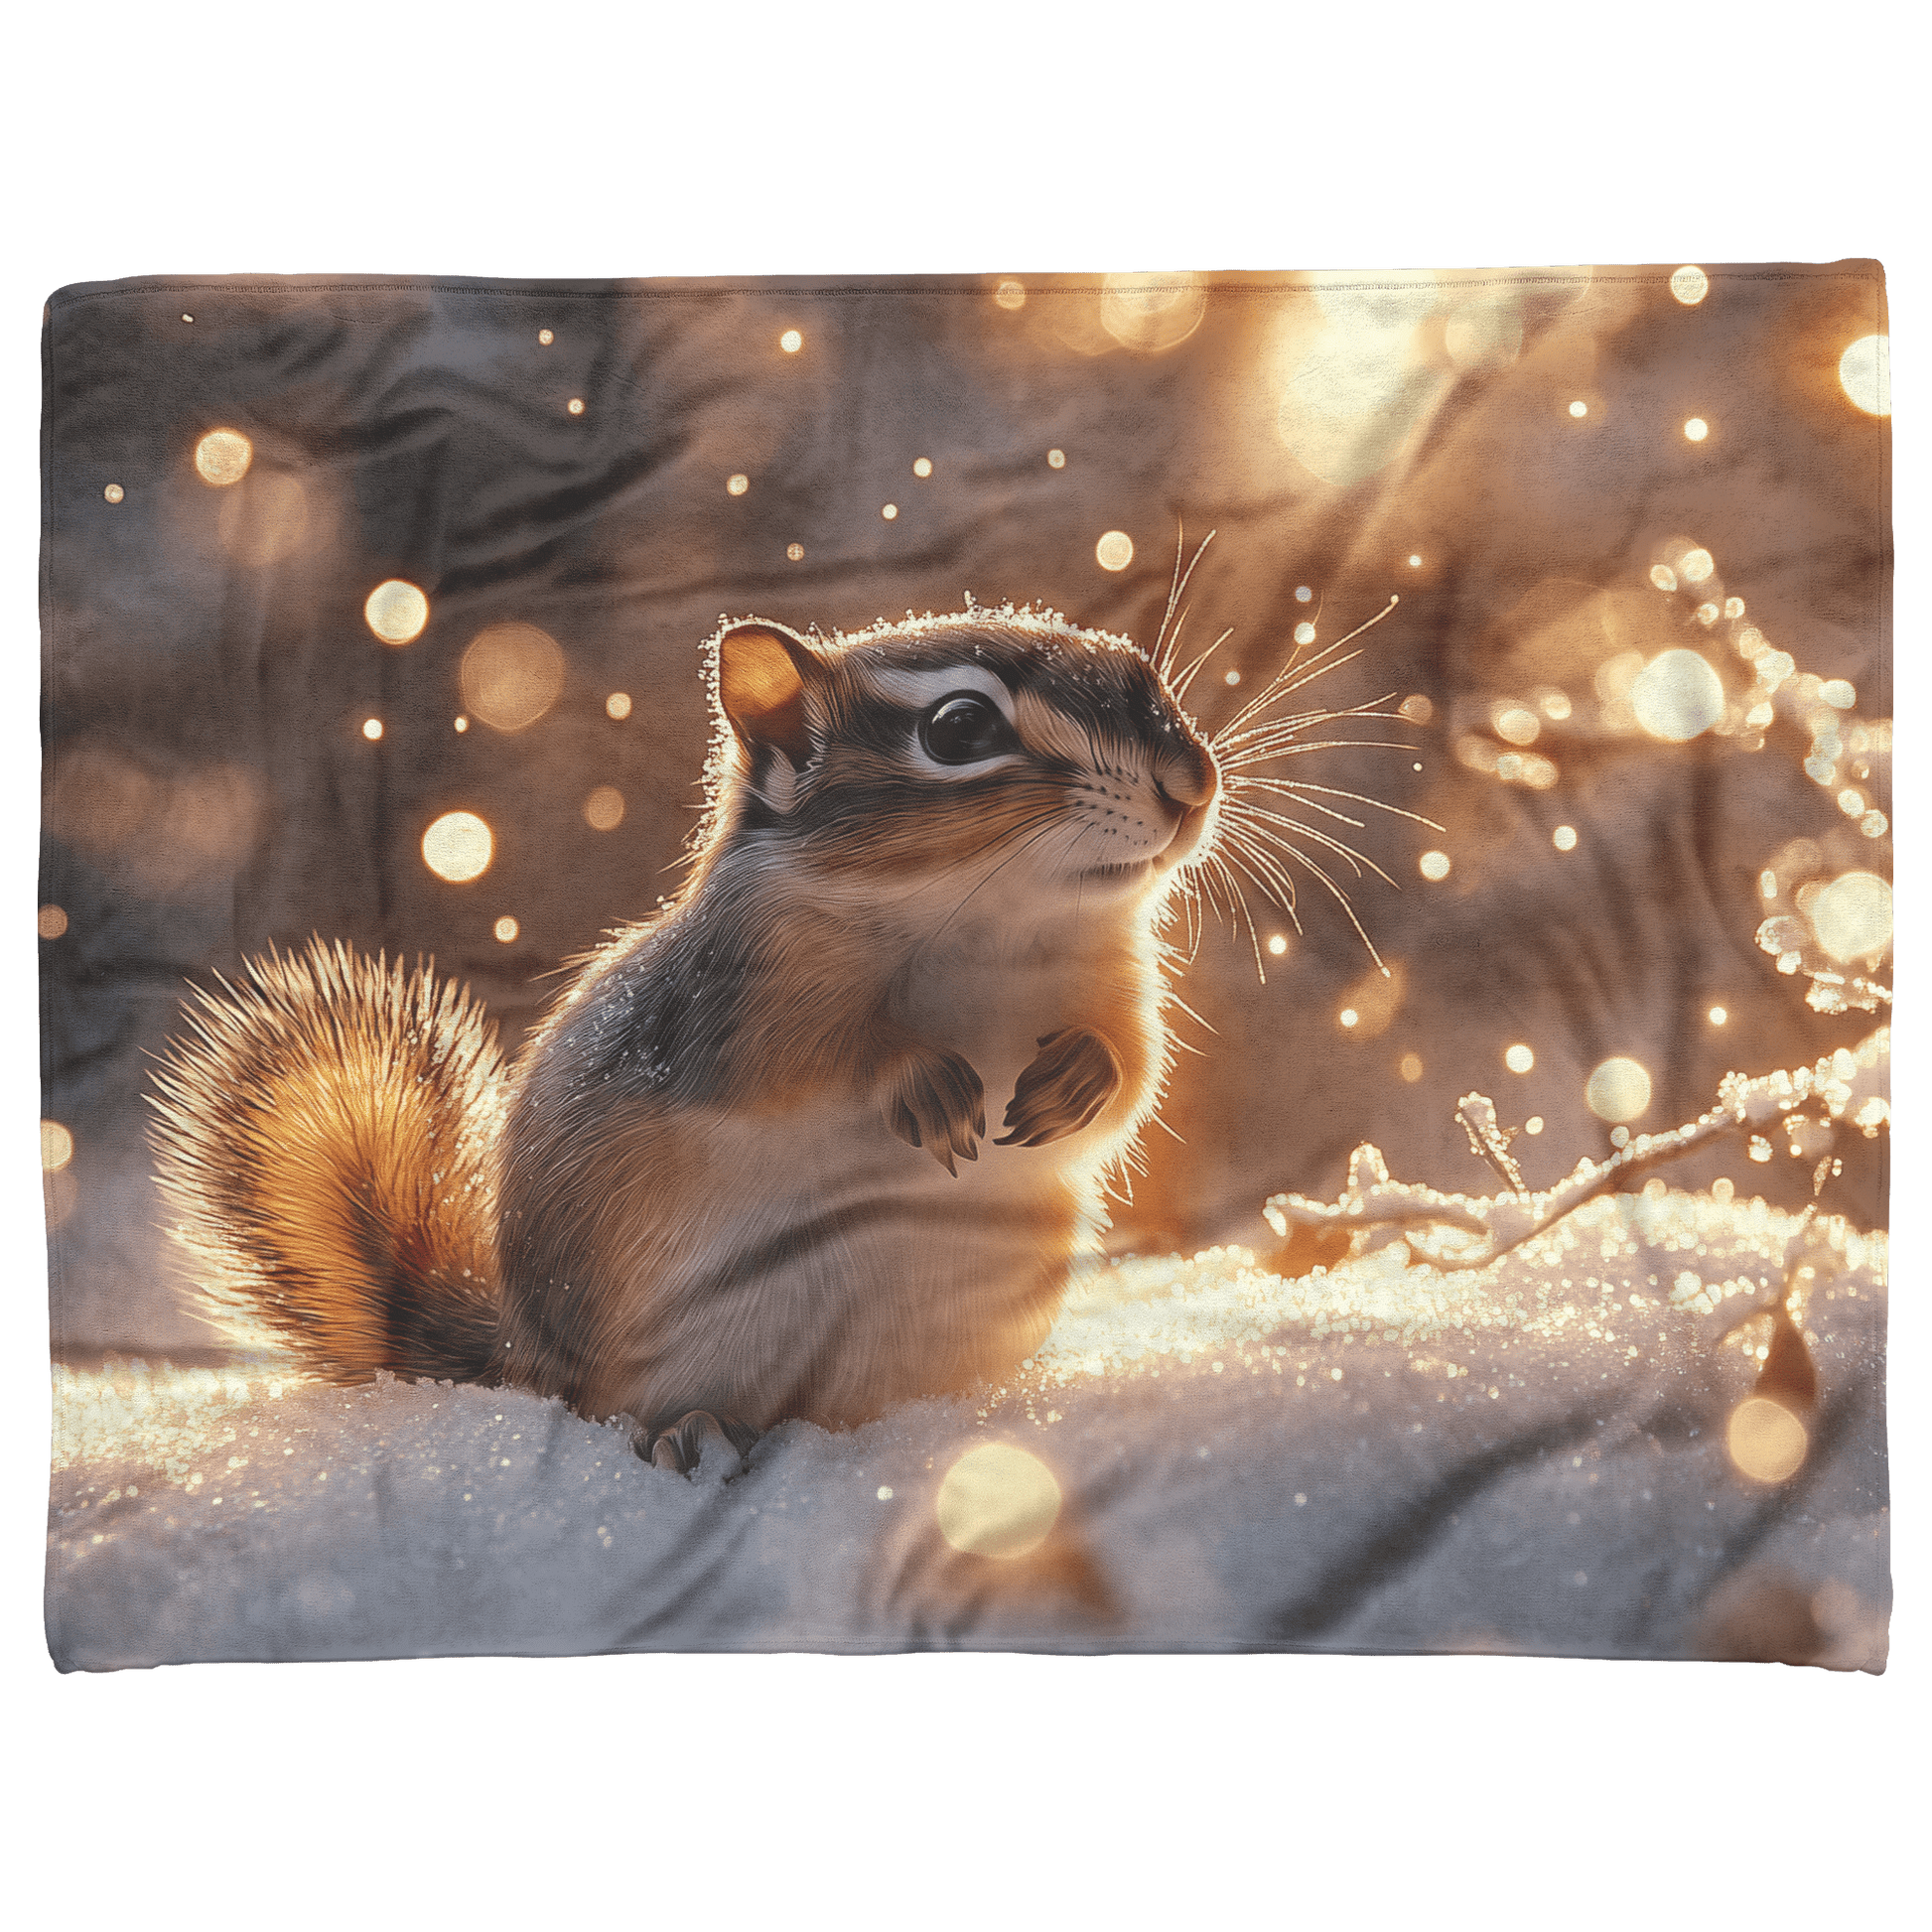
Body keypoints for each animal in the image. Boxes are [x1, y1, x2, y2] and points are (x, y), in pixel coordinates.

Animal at [151, 607, 1223, 1473]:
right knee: (624, 1410)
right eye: (959, 728)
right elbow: (807, 1063)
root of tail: (522, 1357)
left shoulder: (1121, 988)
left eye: (1146, 673)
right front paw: (918, 1078)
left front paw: (1077, 1077)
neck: (991, 927)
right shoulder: (729, 1009)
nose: (1191, 780)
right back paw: (692, 1428)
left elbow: (1135, 1079)